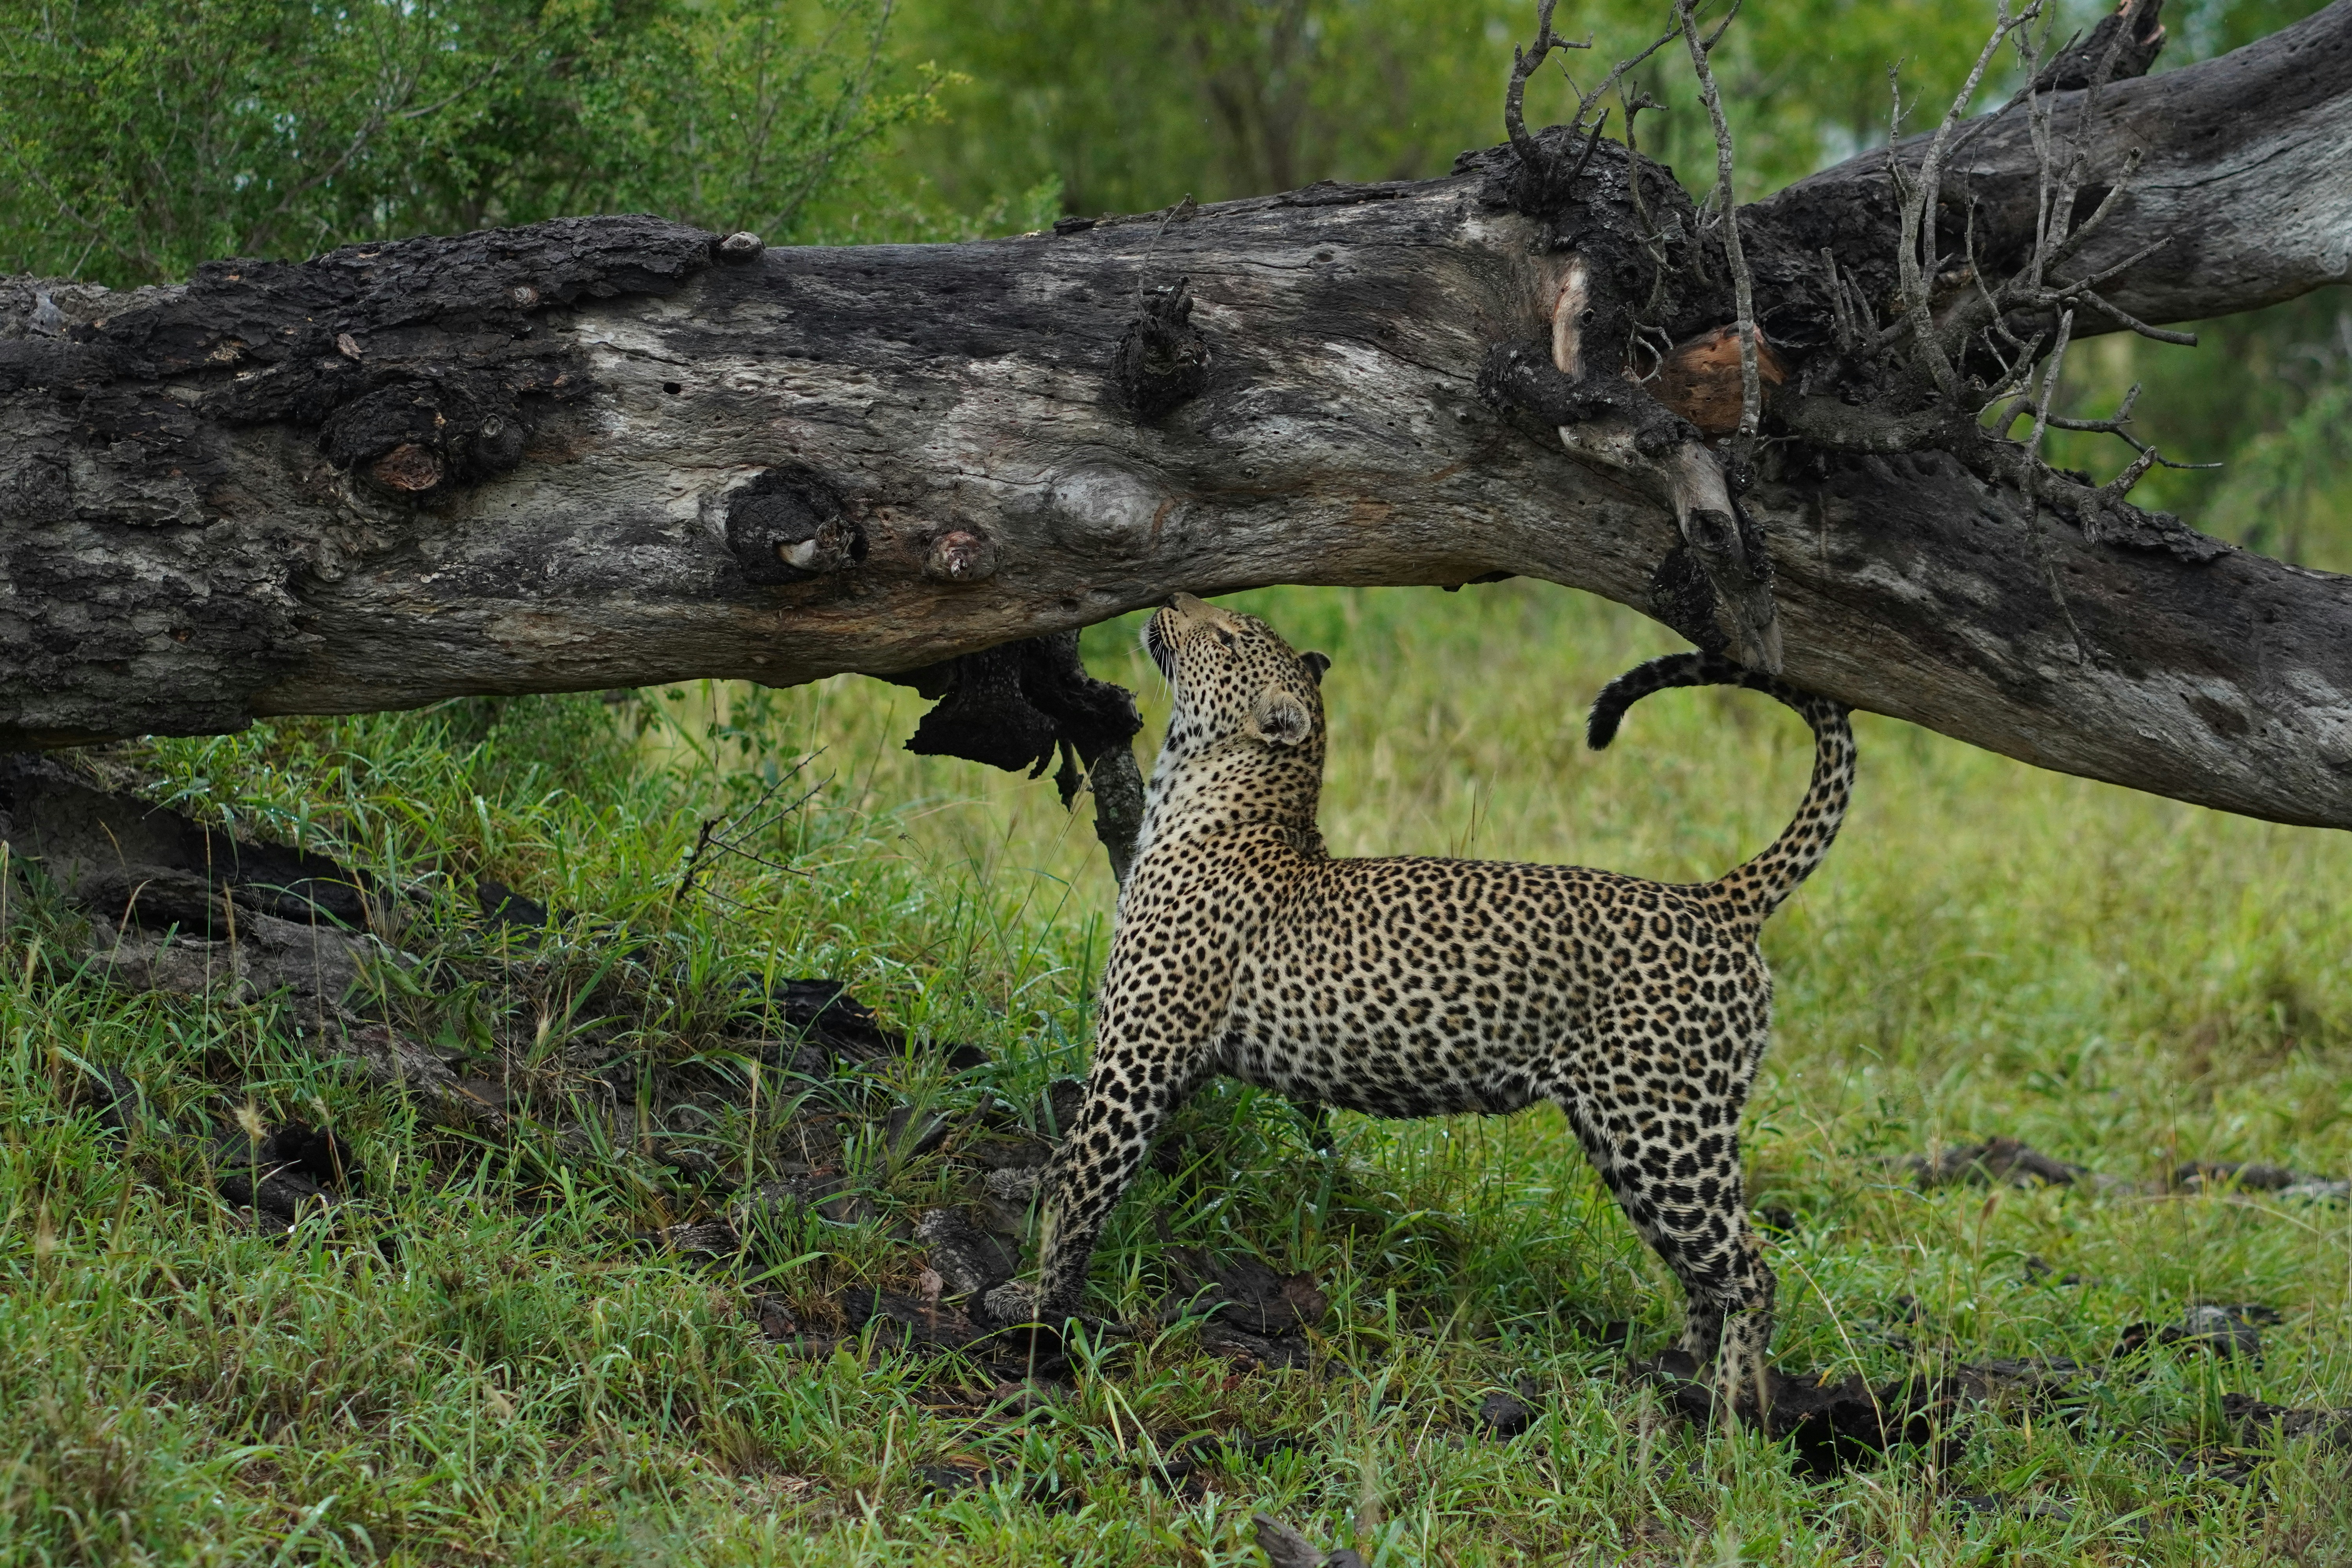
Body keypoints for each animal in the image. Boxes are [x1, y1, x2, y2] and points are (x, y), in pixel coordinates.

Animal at [983, 593, 1855, 1393]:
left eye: (1226, 636)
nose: (1170, 596)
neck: (1198, 799)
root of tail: (1715, 898)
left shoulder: (1140, 1057)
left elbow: (1085, 1181)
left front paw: (1034, 1300)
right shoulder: (1166, 1061)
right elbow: (1075, 1159)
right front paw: (1027, 1212)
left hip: (1668, 1127)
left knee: (1752, 1272)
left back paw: (1729, 1410)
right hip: (1629, 1135)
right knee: (1705, 1270)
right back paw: (1677, 1370)